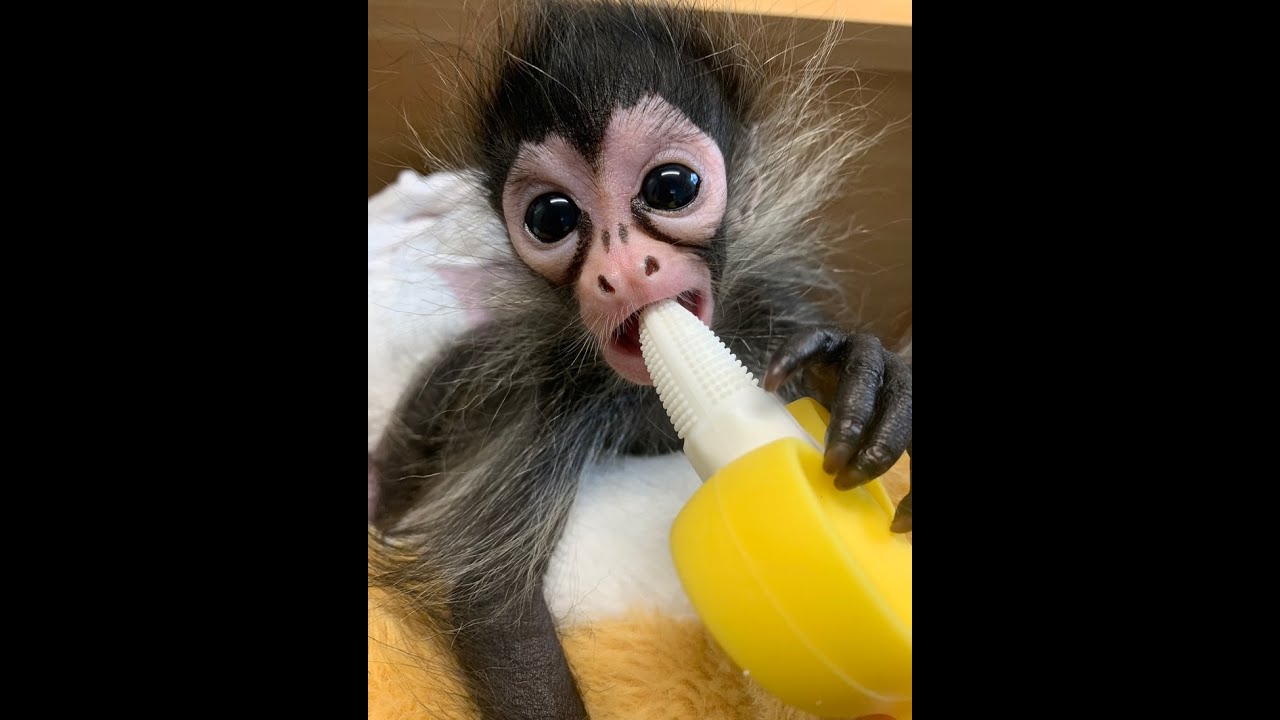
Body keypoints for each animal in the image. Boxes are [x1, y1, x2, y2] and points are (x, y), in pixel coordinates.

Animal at [367, 1, 911, 718]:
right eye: (550, 217)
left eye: (672, 187)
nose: (623, 269)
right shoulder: (550, 386)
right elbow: (496, 606)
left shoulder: (772, 311)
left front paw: (862, 378)